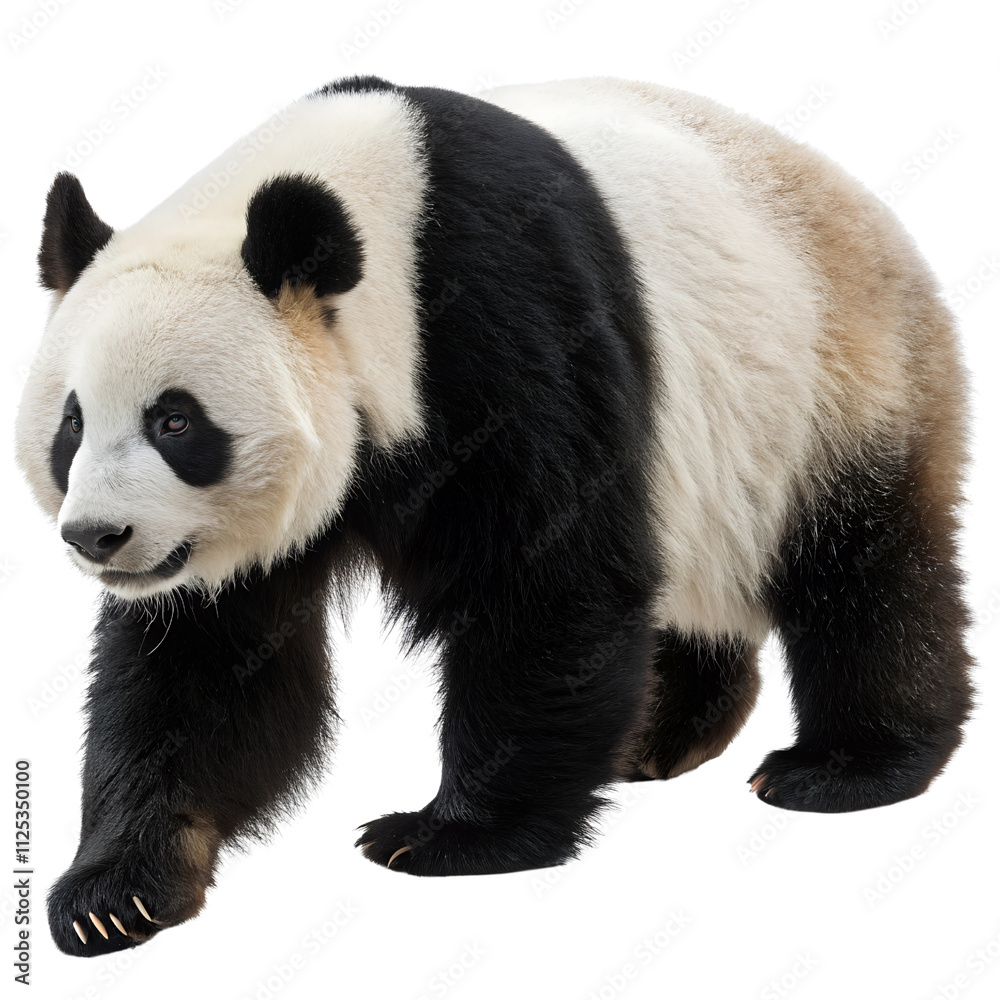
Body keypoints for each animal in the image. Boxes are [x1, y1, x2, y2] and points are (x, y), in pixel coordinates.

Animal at [16, 76, 973, 956]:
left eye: (175, 422)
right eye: (72, 422)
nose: (98, 538)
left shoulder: (506, 321)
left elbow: (549, 583)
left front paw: (450, 837)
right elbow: (208, 660)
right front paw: (115, 891)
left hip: (833, 376)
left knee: (864, 572)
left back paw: (844, 767)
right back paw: (657, 735)